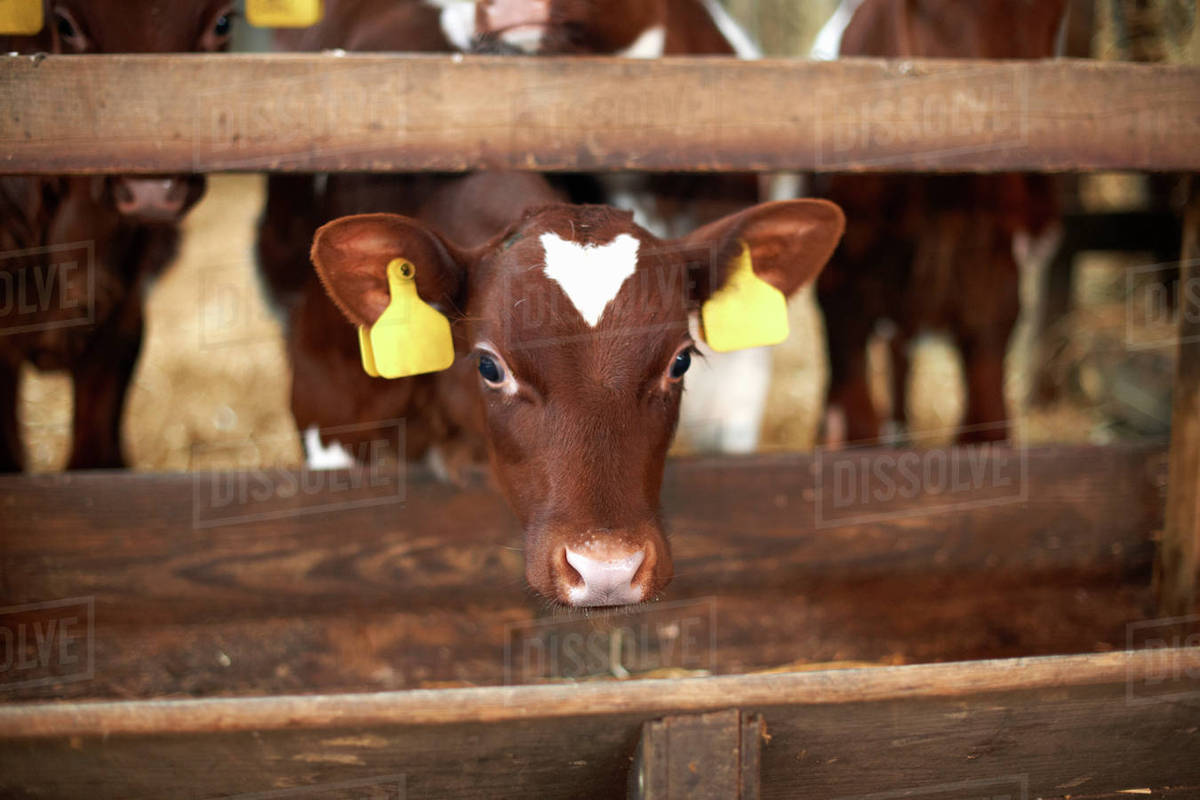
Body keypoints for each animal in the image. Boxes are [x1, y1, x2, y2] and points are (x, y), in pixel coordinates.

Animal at [813, 0, 1067, 446]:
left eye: (1056, 16)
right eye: (936, 11)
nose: (1036, 210)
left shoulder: (993, 308)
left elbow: (987, 424)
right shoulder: (841, 300)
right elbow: (857, 426)